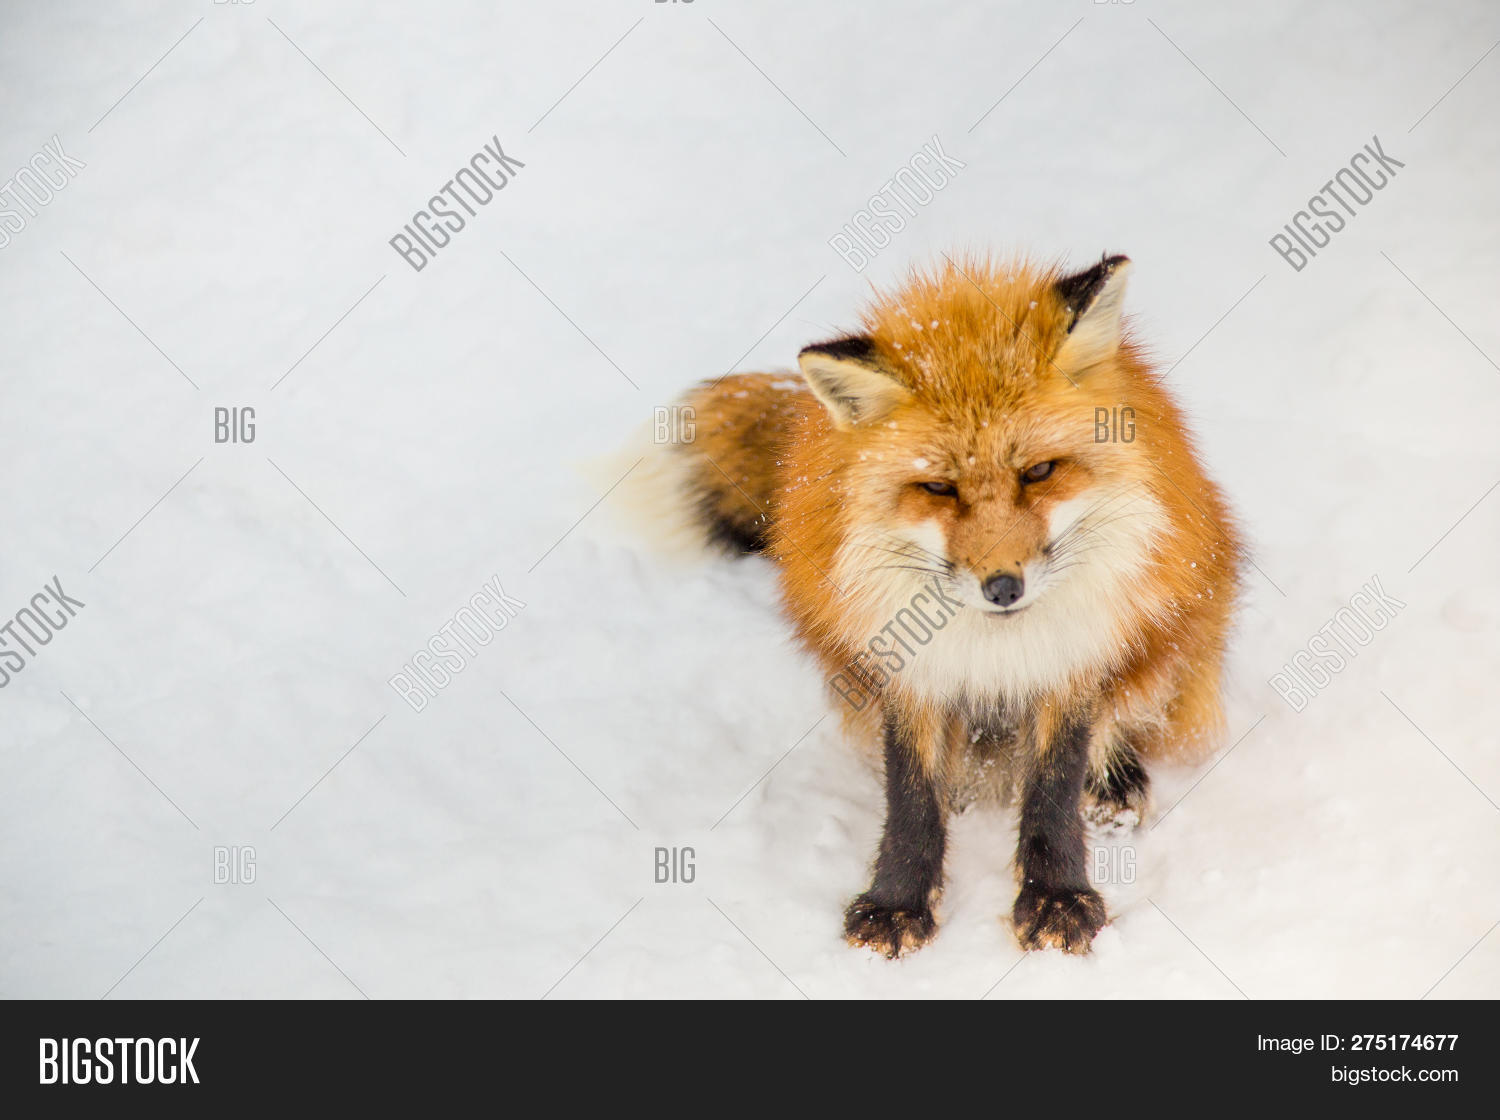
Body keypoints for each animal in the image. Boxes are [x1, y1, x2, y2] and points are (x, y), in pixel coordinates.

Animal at [649, 253, 1242, 957]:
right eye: (937, 488)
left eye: (1039, 472)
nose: (1004, 587)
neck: (994, 647)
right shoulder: (907, 668)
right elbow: (911, 799)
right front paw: (897, 902)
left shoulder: (1070, 656)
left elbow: (1054, 786)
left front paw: (1056, 898)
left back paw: (1116, 782)